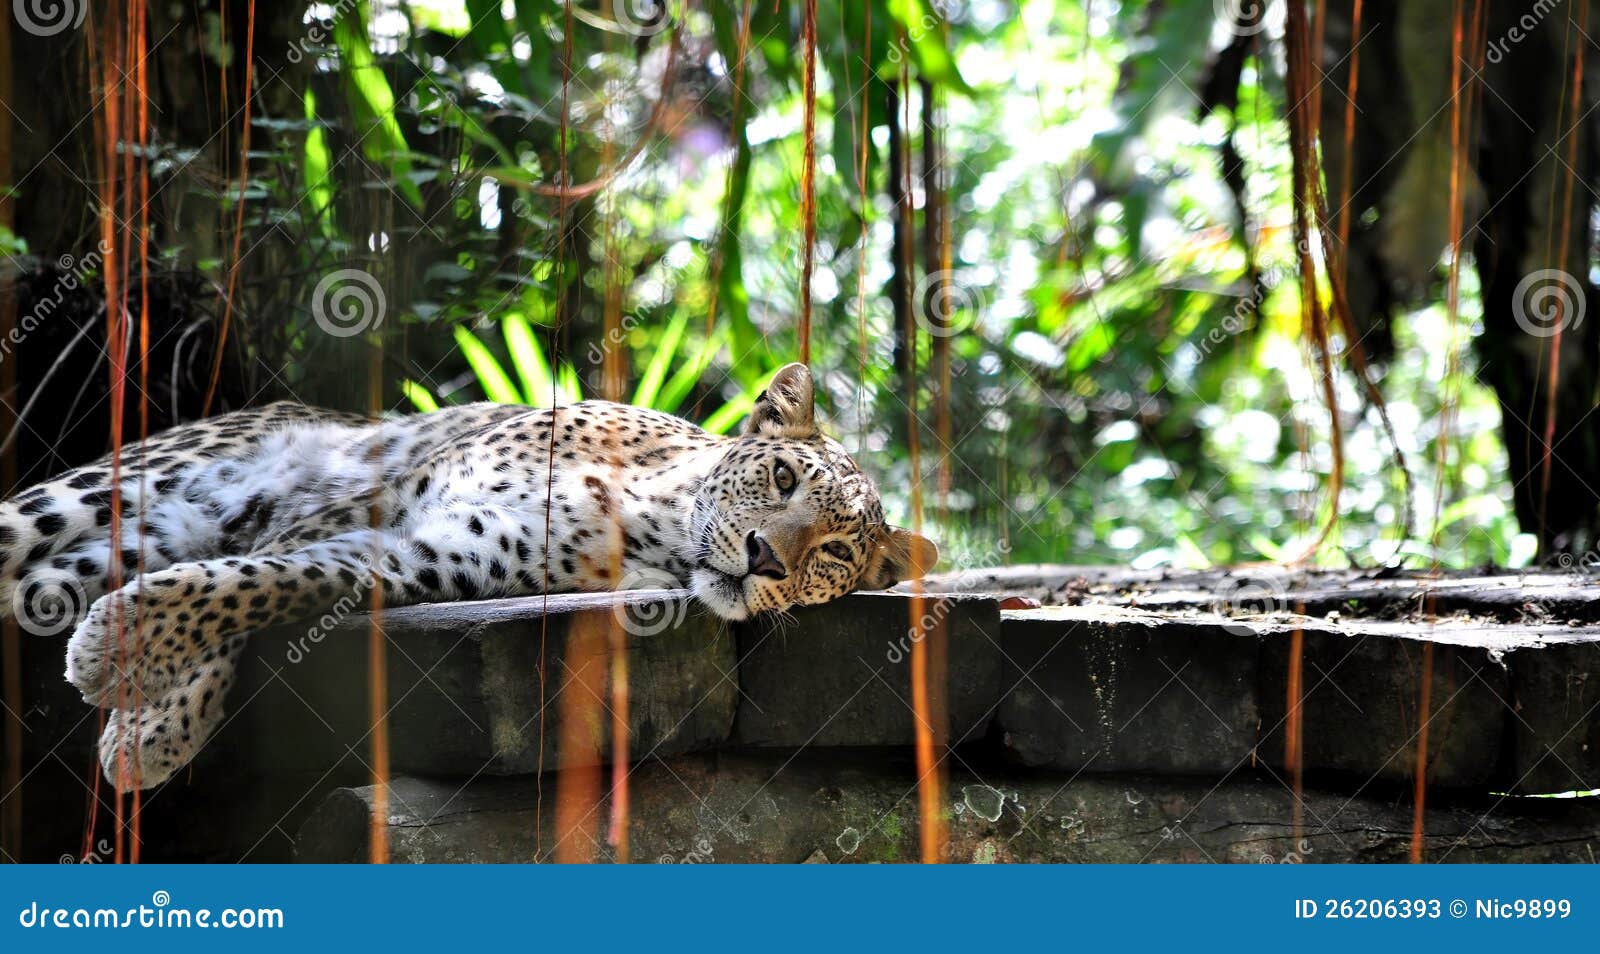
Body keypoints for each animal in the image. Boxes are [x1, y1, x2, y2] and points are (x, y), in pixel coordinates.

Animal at [0, 363, 936, 790]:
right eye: (781, 479)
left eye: (835, 555)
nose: (766, 559)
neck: (657, 521)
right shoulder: (363, 499)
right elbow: (247, 573)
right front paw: (138, 693)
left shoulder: (435, 550)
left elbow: (267, 582)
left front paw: (140, 707)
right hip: (99, 495)